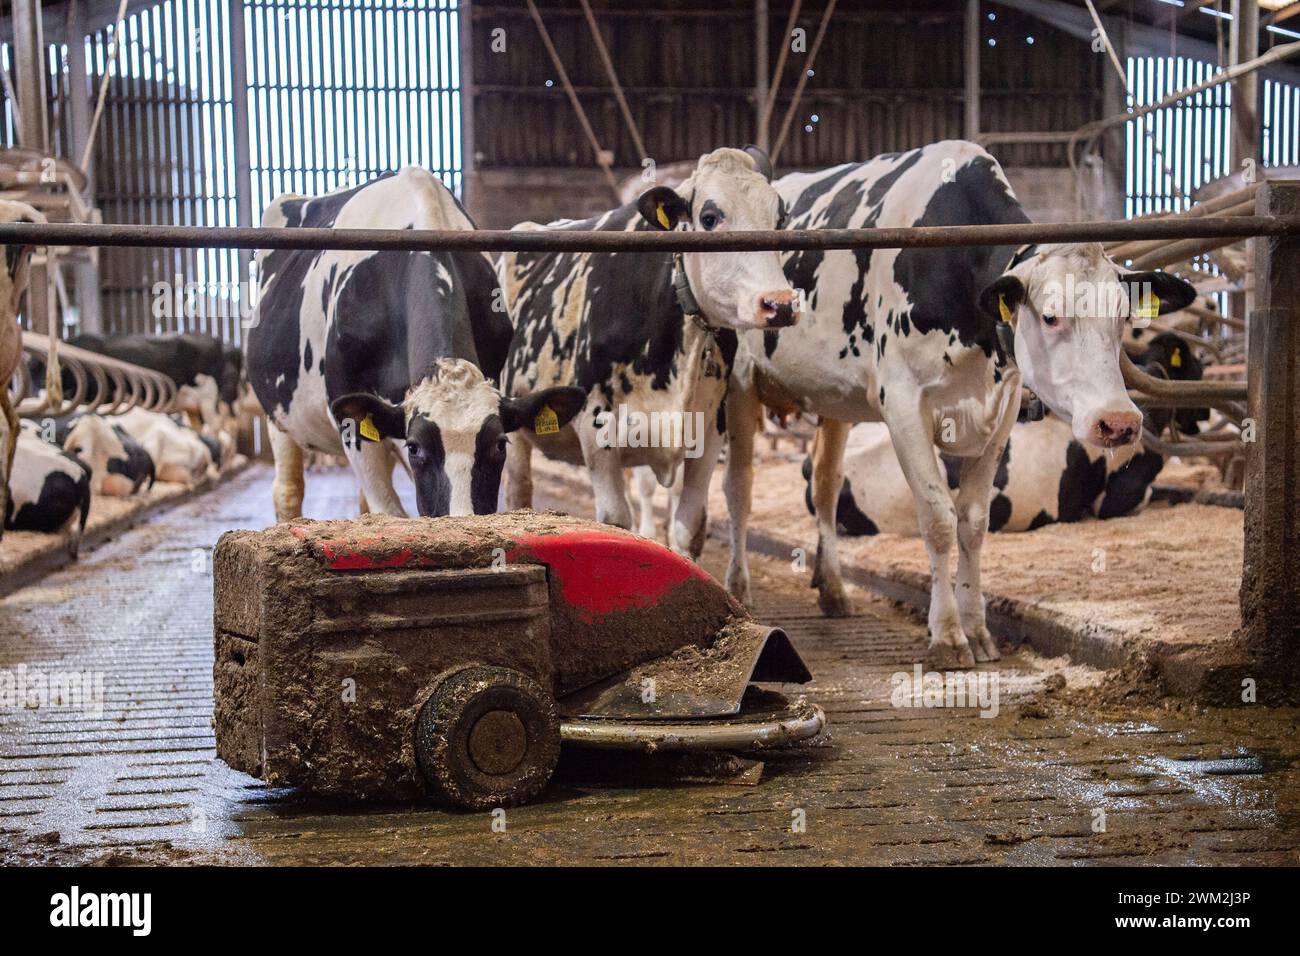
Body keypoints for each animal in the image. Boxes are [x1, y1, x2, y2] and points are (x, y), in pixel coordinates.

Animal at [245, 167, 585, 521]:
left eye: (500, 444)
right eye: (415, 447)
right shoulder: (353, 426)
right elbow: (391, 512)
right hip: (277, 417)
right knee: (288, 491)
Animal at [498, 146, 799, 554]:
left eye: (779, 218)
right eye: (709, 217)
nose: (780, 303)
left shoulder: (708, 434)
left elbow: (689, 527)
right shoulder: (596, 430)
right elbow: (615, 523)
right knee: (519, 490)